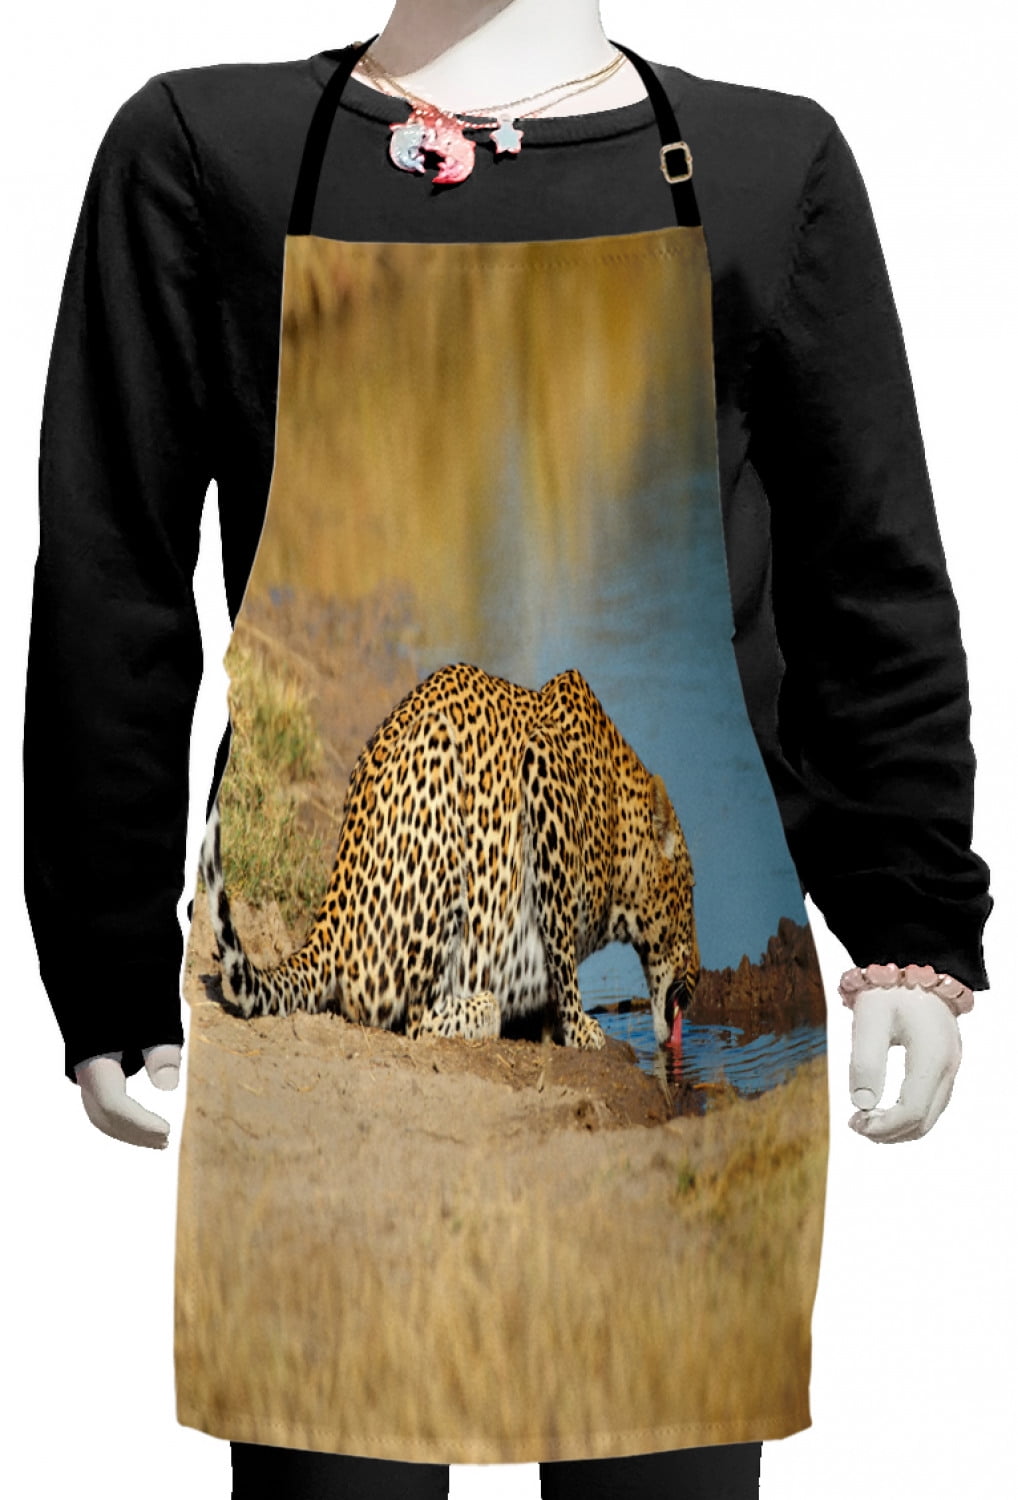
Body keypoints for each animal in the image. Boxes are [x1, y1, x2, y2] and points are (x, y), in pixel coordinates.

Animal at [200, 661, 700, 1051]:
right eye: (691, 892)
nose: (697, 973)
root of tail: (329, 927)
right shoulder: (545, 776)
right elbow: (561, 944)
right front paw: (579, 1029)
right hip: (439, 788)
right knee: (418, 1019)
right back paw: (483, 1008)